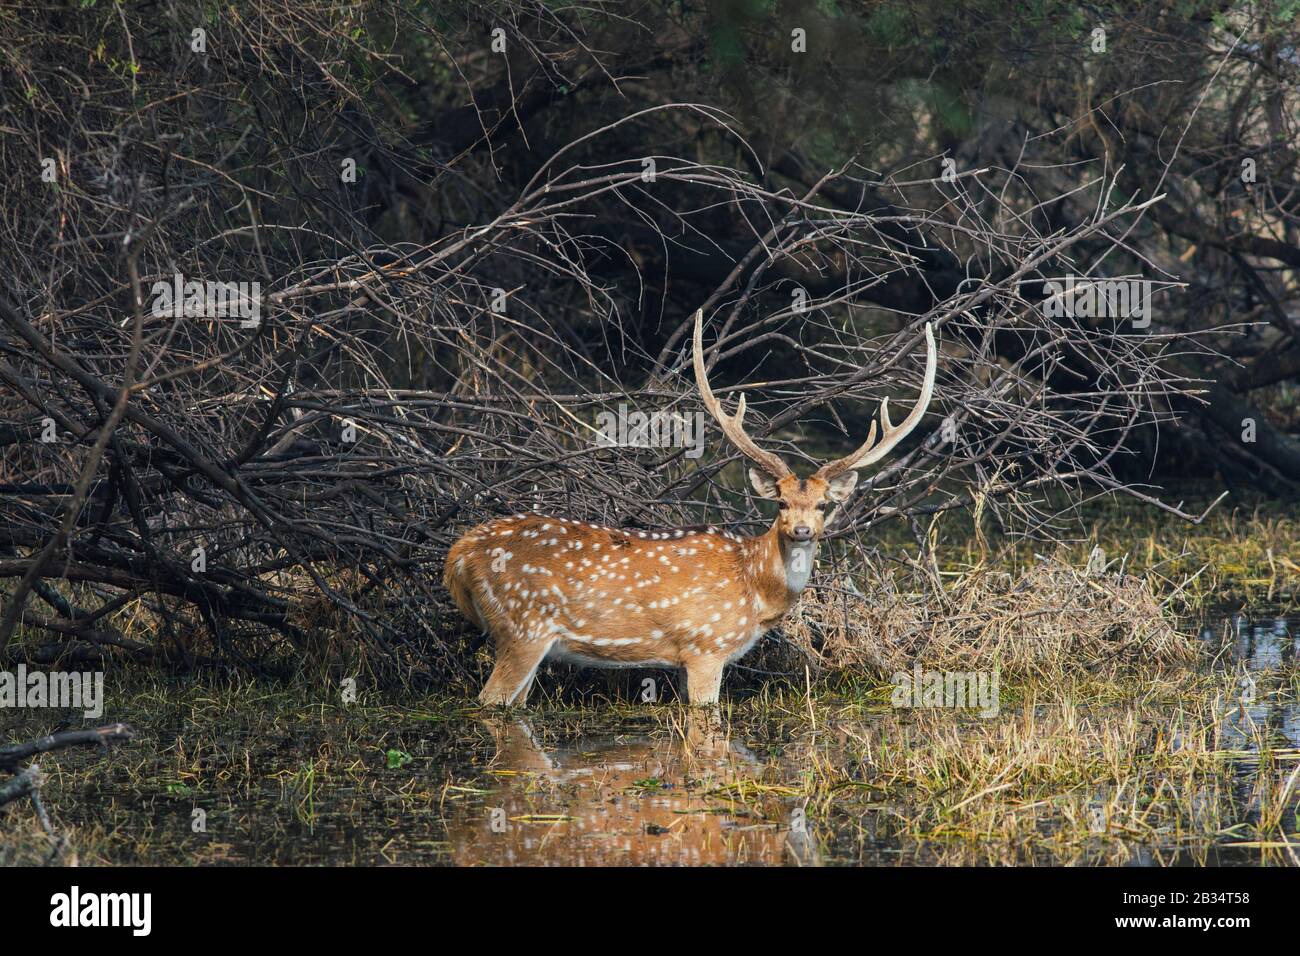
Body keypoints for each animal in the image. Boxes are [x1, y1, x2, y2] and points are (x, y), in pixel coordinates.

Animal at [444, 311, 938, 706]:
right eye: (779, 501)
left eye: (823, 505)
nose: (801, 531)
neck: (755, 588)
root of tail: (461, 552)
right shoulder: (705, 644)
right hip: (522, 625)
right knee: (490, 700)